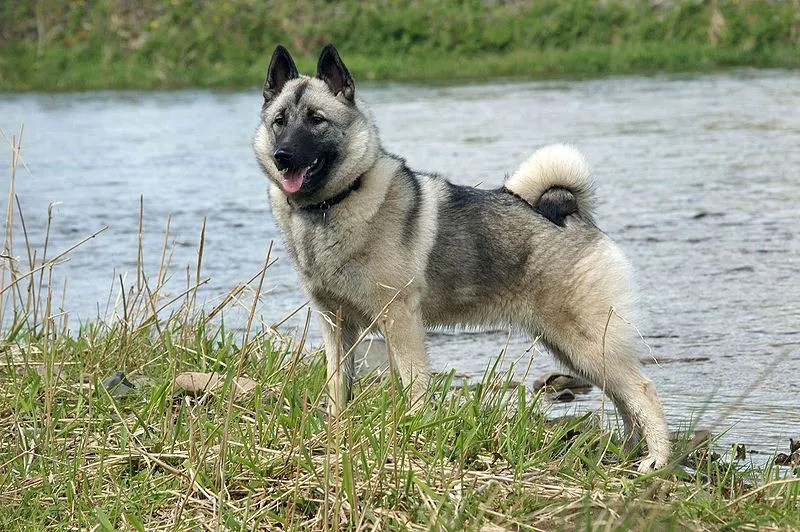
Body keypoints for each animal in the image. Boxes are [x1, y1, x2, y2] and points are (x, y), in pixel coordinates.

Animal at [253, 44, 672, 470]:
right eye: (279, 122)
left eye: (316, 120)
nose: (283, 155)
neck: (333, 205)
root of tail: (573, 213)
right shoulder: (335, 325)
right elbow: (337, 386)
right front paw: (336, 432)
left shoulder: (400, 320)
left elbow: (414, 384)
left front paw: (413, 432)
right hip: (570, 347)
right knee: (623, 398)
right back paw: (629, 452)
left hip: (585, 342)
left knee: (642, 389)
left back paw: (656, 460)